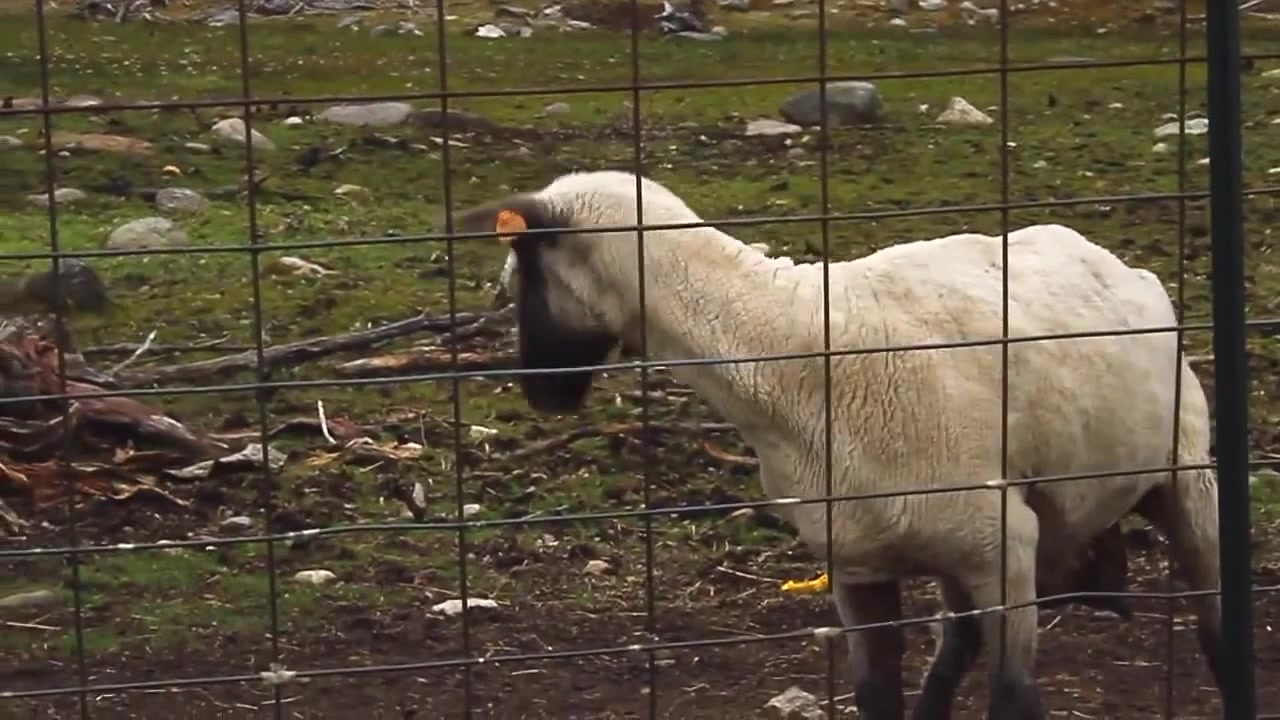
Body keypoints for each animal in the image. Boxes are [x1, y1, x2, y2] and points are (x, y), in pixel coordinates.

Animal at [455, 170, 1224, 719]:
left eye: (518, 280)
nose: (540, 394)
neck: (790, 351)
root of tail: (1109, 257)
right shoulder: (859, 563)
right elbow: (877, 697)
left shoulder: (1007, 550)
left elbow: (1015, 702)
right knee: (955, 647)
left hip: (1186, 475)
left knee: (1214, 614)